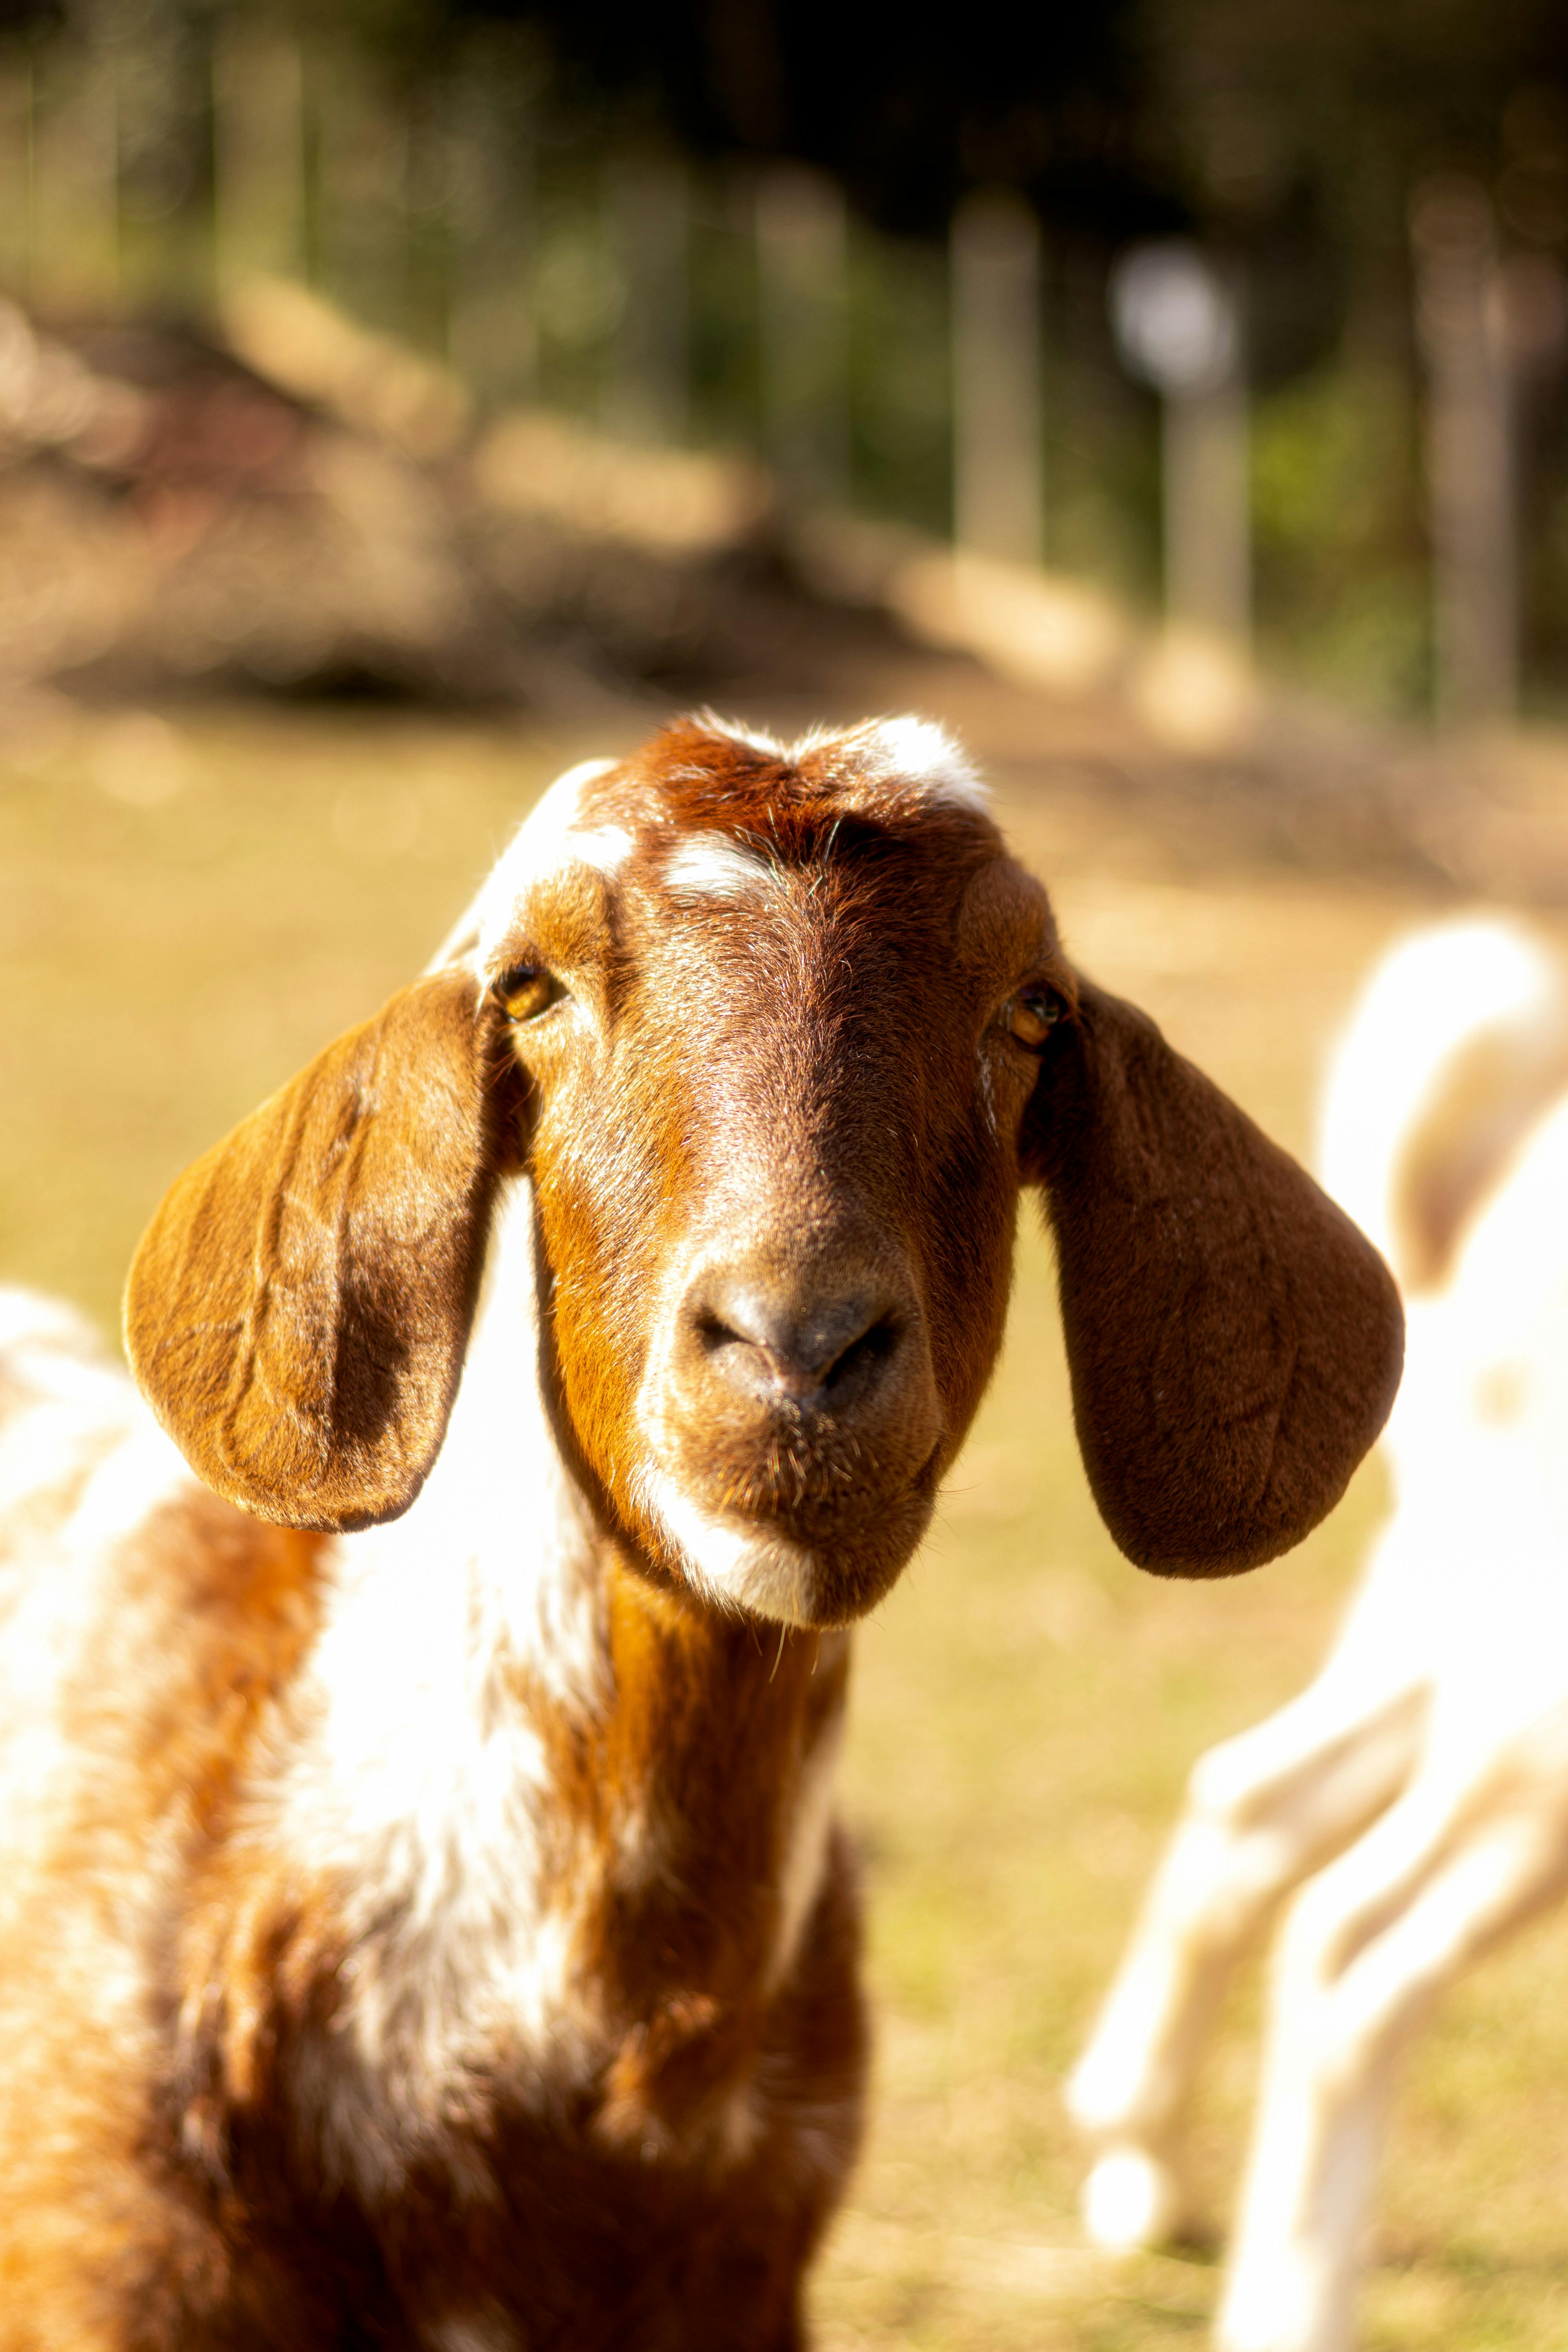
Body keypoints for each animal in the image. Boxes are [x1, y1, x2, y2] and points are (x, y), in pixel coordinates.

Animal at [1067, 913, 1568, 2352]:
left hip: (1450, 1642)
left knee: (1247, 1800)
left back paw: (1140, 2158)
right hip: (1537, 1734)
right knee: (1348, 1952)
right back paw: (1289, 2307)